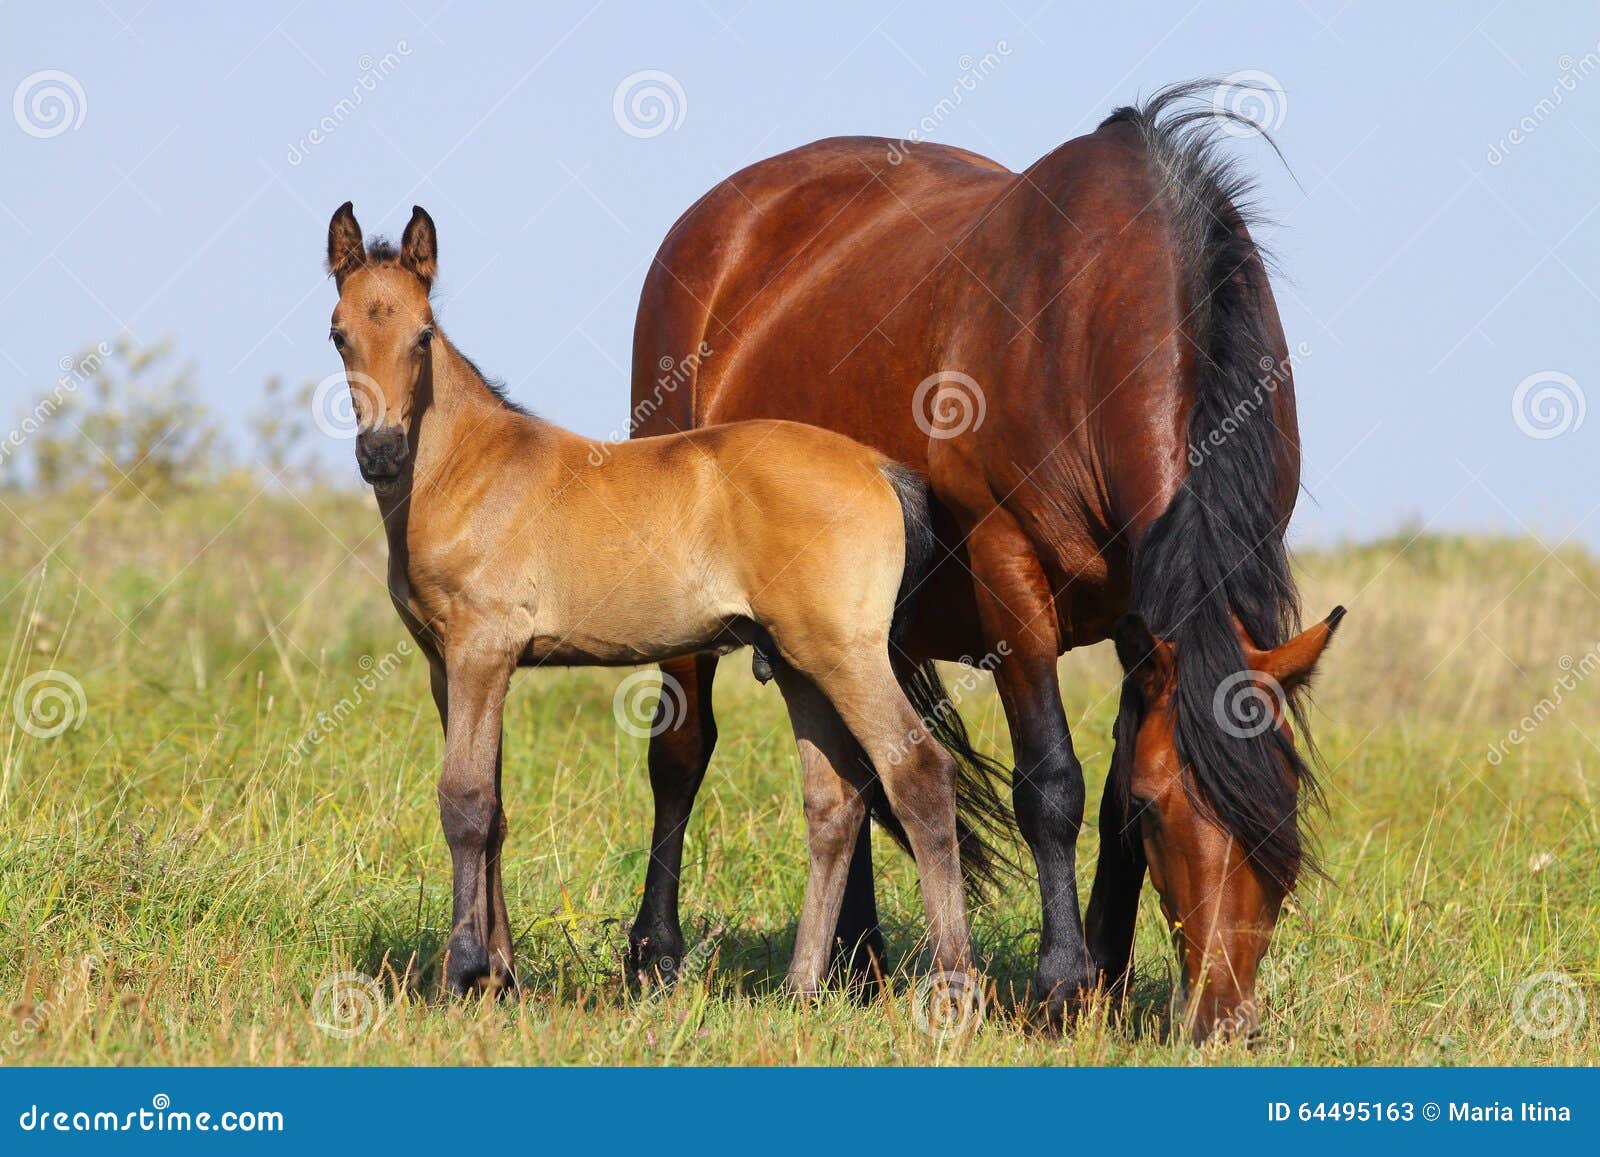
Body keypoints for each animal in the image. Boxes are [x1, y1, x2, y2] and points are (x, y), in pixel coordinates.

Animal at [322, 201, 1015, 998]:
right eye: (339, 332)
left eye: (423, 335)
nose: (380, 453)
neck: (469, 468)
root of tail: (878, 467)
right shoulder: (449, 664)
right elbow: (492, 806)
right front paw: (502, 976)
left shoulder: (482, 649)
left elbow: (464, 799)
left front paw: (464, 973)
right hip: (800, 662)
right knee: (834, 801)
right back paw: (800, 990)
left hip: (846, 654)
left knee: (920, 774)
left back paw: (954, 989)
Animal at [627, 81, 1344, 1040]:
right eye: (1164, 812)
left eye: (1282, 820)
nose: (1223, 1021)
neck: (1091, 316)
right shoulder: (1010, 577)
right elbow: (1054, 784)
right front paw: (1063, 984)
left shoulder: (1142, 614)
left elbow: (1104, 783)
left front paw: (1107, 975)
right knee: (681, 751)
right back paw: (657, 955)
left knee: (860, 764)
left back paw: (859, 960)